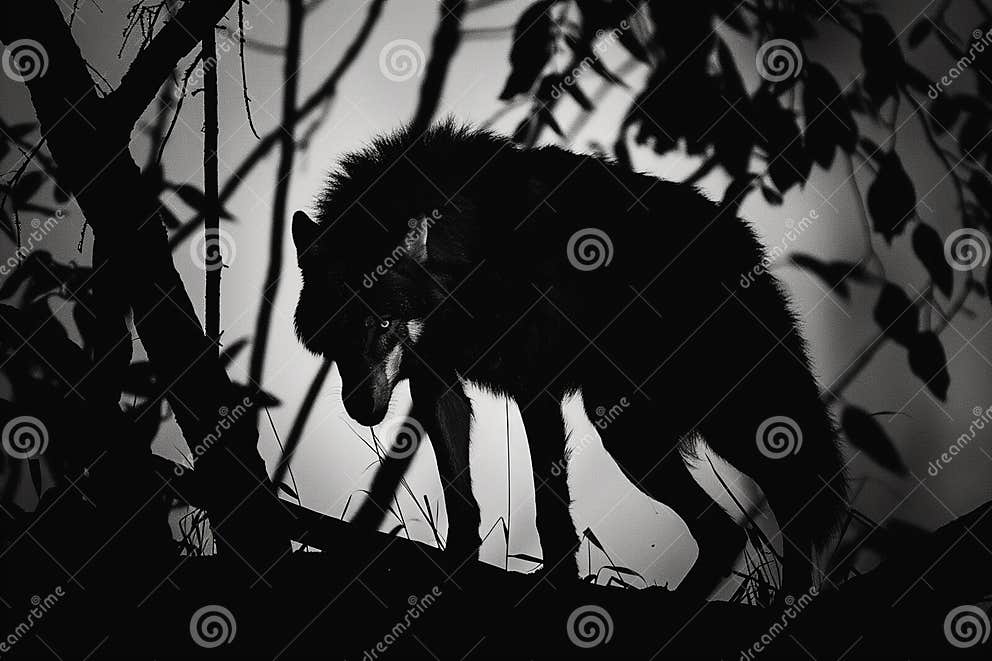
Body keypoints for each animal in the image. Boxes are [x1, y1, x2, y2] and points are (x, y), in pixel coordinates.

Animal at [292, 121, 847, 597]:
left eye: (384, 322)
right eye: (336, 334)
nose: (363, 410)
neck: (473, 262)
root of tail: (744, 244)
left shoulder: (535, 386)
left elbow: (550, 506)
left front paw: (558, 582)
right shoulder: (437, 383)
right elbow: (460, 496)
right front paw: (456, 566)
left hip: (677, 424)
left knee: (789, 496)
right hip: (636, 427)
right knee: (730, 530)